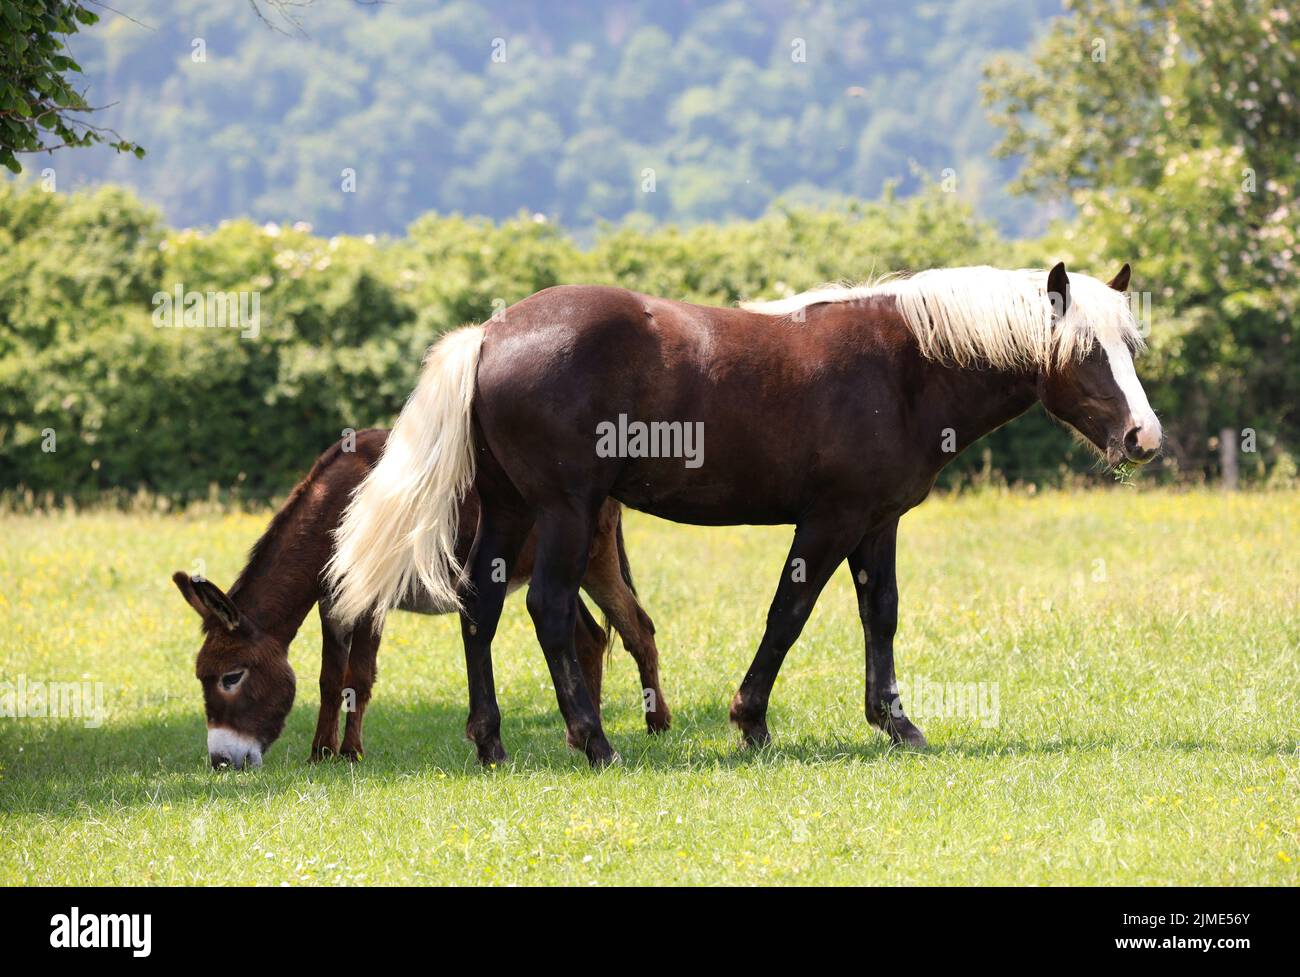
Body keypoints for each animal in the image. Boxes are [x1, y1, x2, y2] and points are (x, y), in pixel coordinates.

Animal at [173, 428, 667, 769]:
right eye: (202, 679)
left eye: (232, 677)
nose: (221, 763)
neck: (336, 502)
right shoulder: (331, 601)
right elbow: (330, 679)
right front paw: (320, 754)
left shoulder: (367, 597)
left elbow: (358, 676)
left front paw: (350, 754)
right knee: (589, 636)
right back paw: (580, 735)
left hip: (592, 557)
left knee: (637, 627)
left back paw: (656, 724)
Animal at [325, 262, 1160, 768]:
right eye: (1087, 350)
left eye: (1132, 344)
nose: (1142, 438)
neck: (904, 365)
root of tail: (492, 333)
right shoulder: (830, 519)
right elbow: (788, 612)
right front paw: (751, 718)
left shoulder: (877, 522)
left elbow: (881, 614)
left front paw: (896, 721)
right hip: (564, 512)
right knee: (549, 609)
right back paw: (594, 742)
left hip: (509, 510)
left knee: (483, 607)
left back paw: (491, 743)